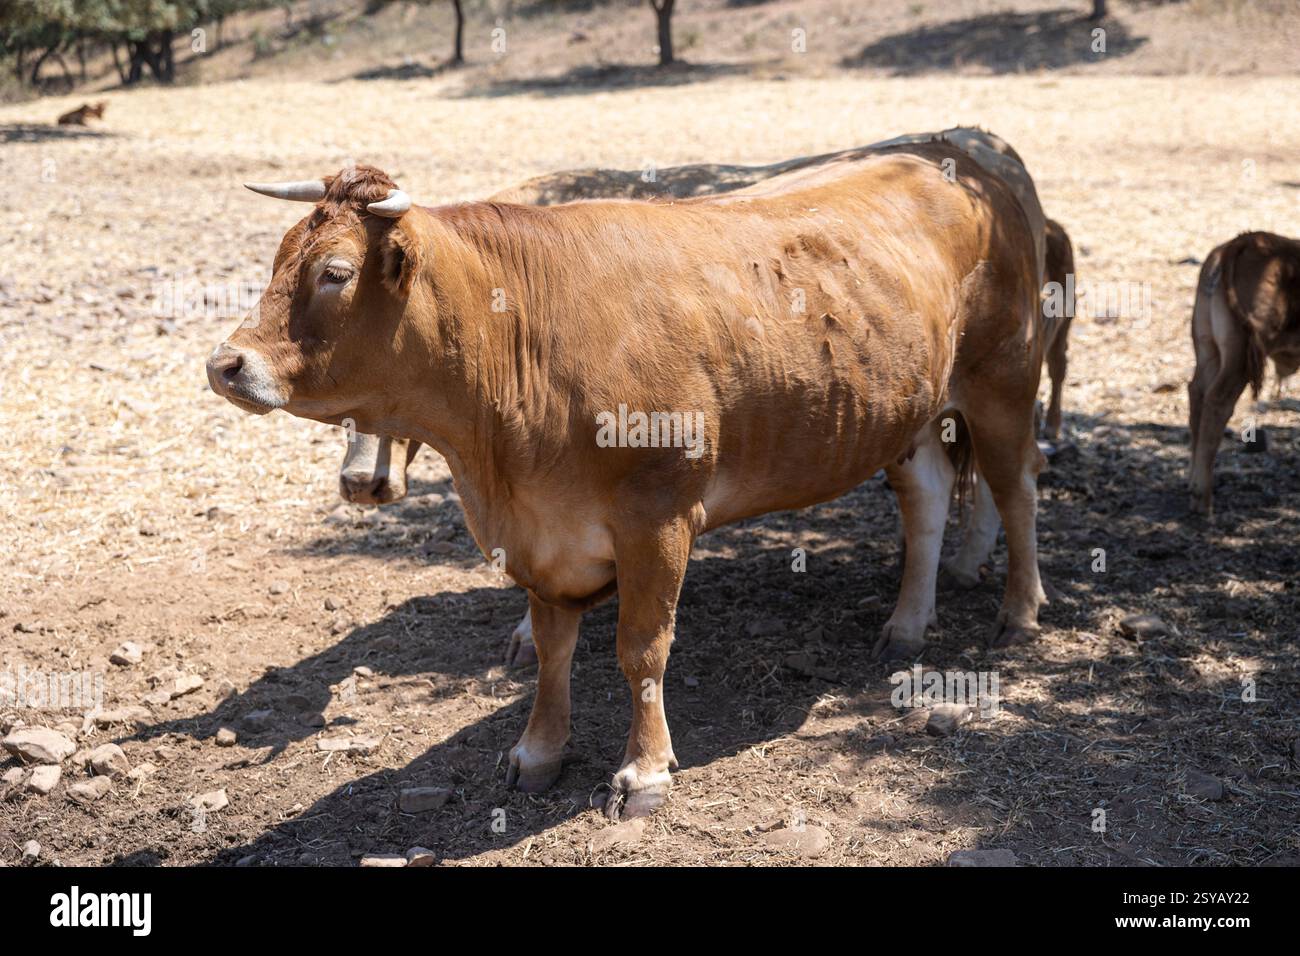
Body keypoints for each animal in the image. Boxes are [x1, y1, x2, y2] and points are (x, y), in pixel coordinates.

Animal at [209, 150, 1046, 817]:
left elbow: (642, 648)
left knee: (1016, 493)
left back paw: (1020, 614)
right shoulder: (539, 537)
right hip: (912, 410)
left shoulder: (658, 517)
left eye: (334, 272)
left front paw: (642, 771)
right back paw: (906, 624)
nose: (225, 364)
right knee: (927, 505)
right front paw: (537, 751)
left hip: (1001, 382)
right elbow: (552, 647)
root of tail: (962, 167)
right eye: (279, 257)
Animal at [1188, 231, 1300, 517]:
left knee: (1197, 393)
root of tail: (1243, 241)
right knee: (1218, 401)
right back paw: (1204, 501)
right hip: (1238, 358)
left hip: (1208, 348)